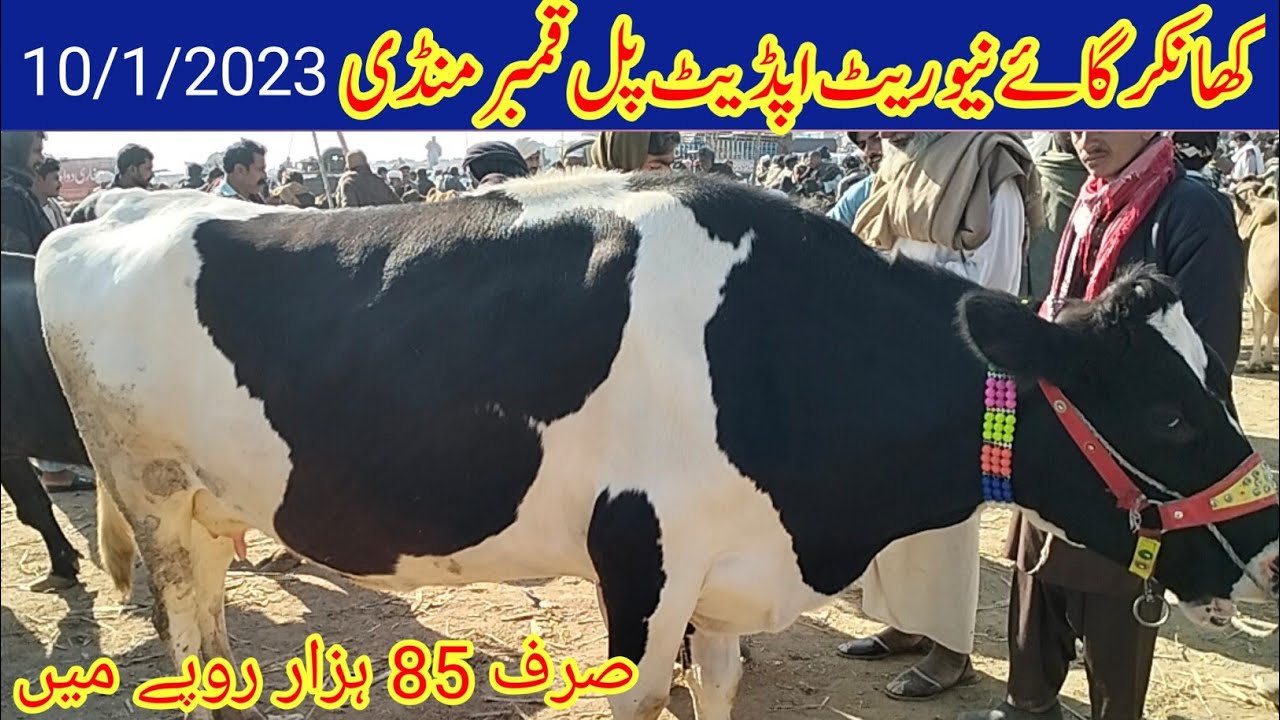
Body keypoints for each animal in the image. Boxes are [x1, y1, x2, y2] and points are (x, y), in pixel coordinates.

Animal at [1229, 180, 1279, 372]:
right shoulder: (1268, 288)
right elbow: (1271, 323)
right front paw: (1267, 361)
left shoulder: (1255, 286)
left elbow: (1260, 324)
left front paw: (1254, 363)